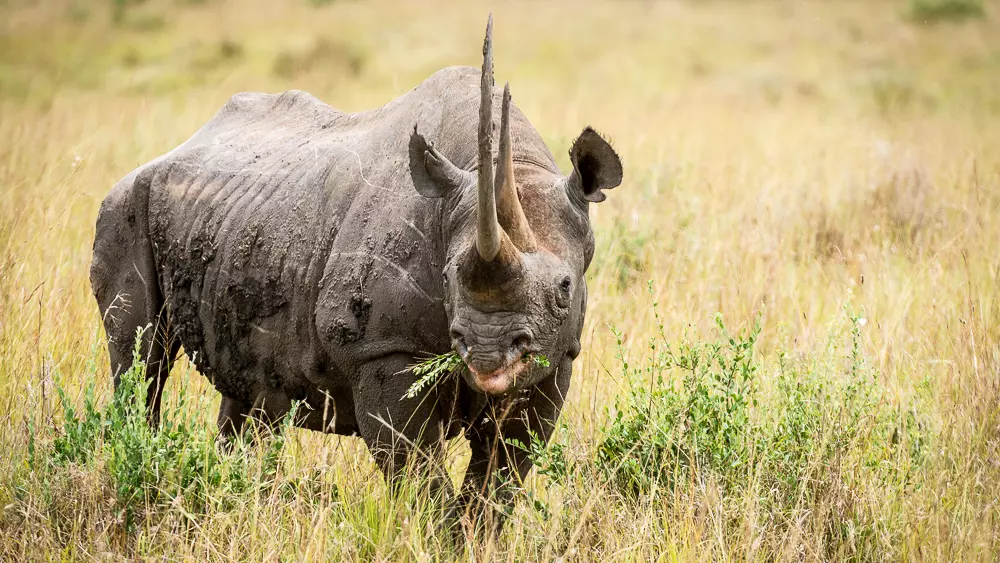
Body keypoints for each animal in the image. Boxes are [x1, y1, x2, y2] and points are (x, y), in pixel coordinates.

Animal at [90, 16, 622, 531]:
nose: (487, 354)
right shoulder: (380, 350)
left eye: (564, 288)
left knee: (249, 399)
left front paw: (477, 538)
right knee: (141, 358)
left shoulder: (557, 357)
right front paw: (439, 538)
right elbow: (417, 471)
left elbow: (502, 471)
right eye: (447, 281)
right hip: (123, 204)